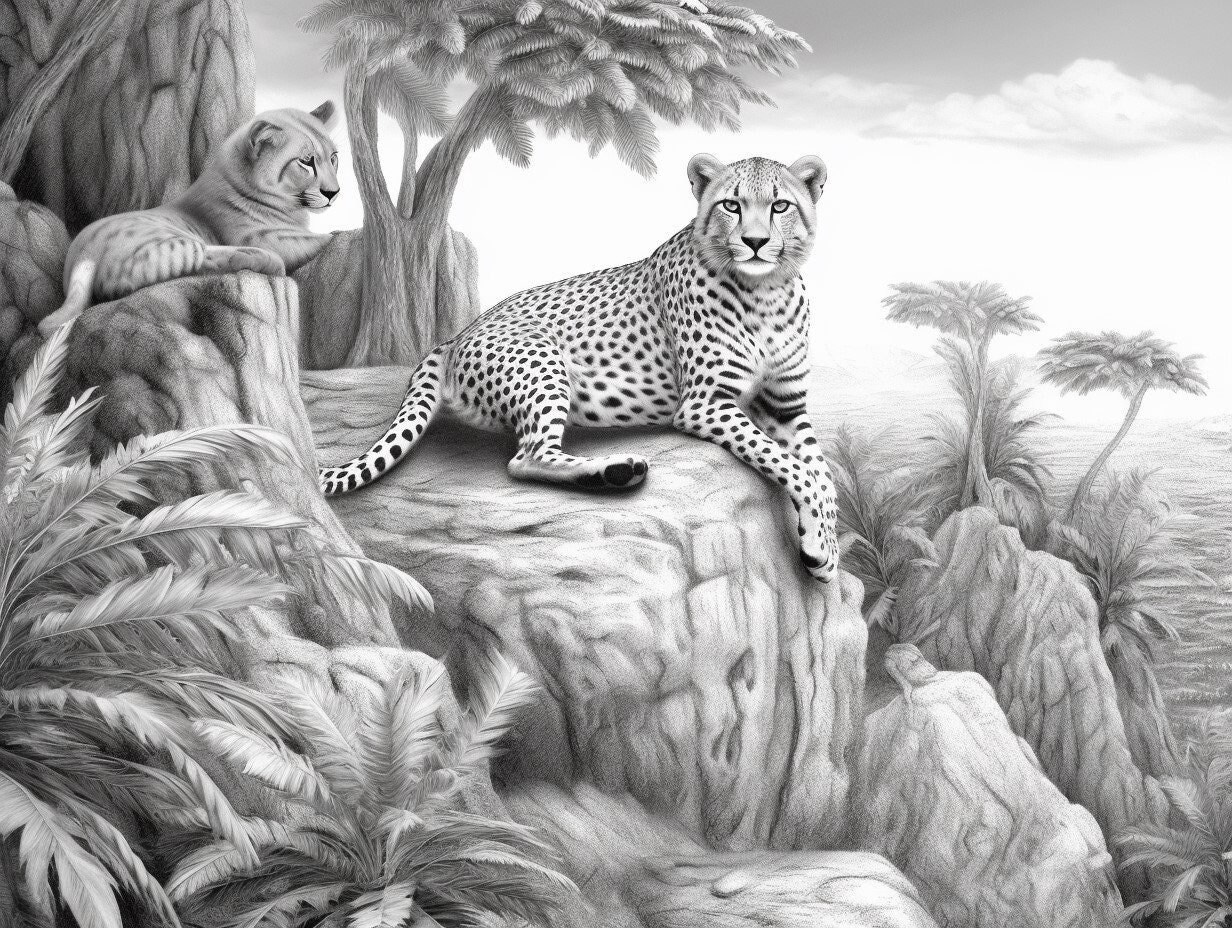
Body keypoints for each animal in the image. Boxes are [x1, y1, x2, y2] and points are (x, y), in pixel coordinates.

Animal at [37, 101, 342, 336]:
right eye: (306, 161)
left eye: (333, 158)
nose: (333, 193)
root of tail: (81, 252)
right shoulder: (263, 235)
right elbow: (314, 239)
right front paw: (333, 234)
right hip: (178, 245)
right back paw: (259, 259)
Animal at [320, 153, 840, 583]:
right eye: (732, 204)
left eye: (780, 206)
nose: (755, 242)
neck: (767, 291)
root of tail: (456, 335)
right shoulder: (705, 404)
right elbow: (793, 468)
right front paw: (821, 546)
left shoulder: (787, 406)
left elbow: (818, 472)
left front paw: (825, 548)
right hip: (543, 363)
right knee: (526, 457)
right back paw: (614, 470)